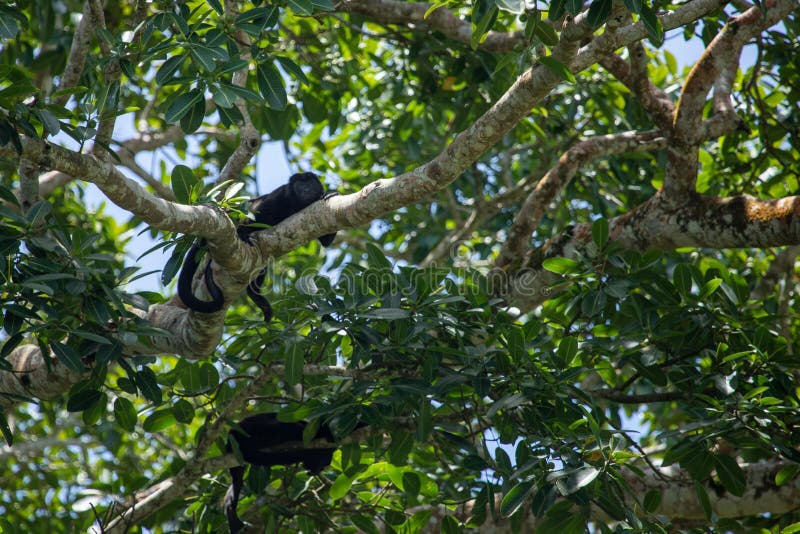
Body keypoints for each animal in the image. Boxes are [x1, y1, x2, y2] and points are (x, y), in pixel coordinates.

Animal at [177, 172, 337, 321]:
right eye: (300, 185)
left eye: (310, 184)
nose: (306, 189)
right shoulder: (280, 195)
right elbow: (256, 213)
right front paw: (243, 232)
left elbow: (326, 241)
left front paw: (330, 194)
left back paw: (256, 297)